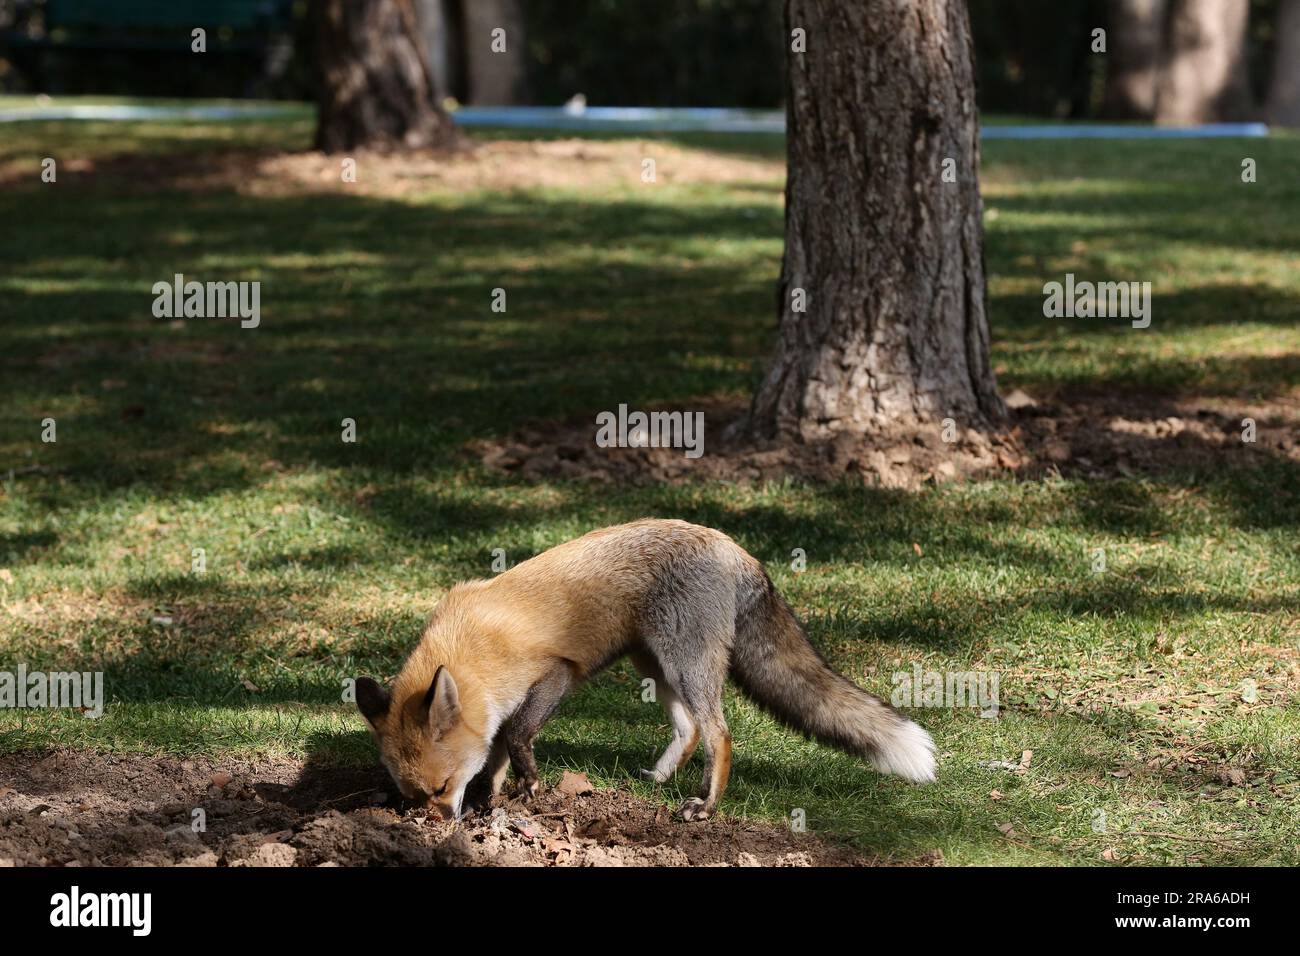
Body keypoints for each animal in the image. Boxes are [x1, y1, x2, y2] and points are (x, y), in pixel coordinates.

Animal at [354, 518, 936, 822]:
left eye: (440, 787)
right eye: (413, 795)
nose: (435, 825)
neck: (472, 646)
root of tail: (734, 546)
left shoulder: (556, 674)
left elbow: (517, 736)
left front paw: (526, 787)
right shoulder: (497, 708)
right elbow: (496, 750)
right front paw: (493, 796)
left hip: (685, 664)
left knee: (719, 733)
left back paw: (706, 803)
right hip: (655, 667)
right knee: (691, 728)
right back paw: (660, 777)